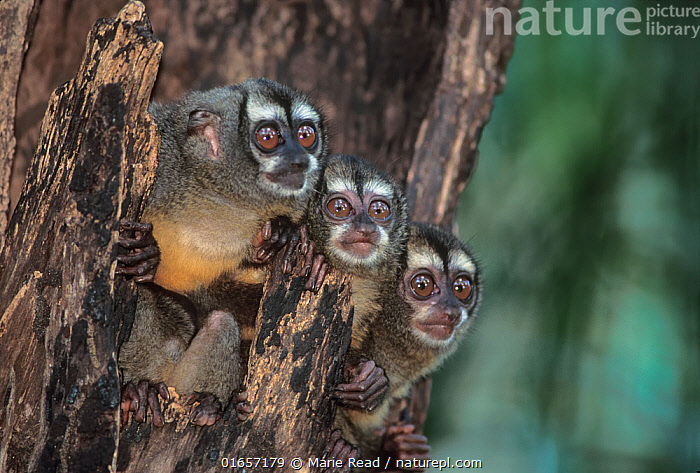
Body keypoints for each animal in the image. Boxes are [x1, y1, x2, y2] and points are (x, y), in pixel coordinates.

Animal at [117, 78, 329, 426]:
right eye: (268, 137)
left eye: (306, 135)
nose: (300, 159)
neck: (219, 199)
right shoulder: (161, 166)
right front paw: (146, 256)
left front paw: (291, 239)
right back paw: (138, 390)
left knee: (220, 323)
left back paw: (207, 406)